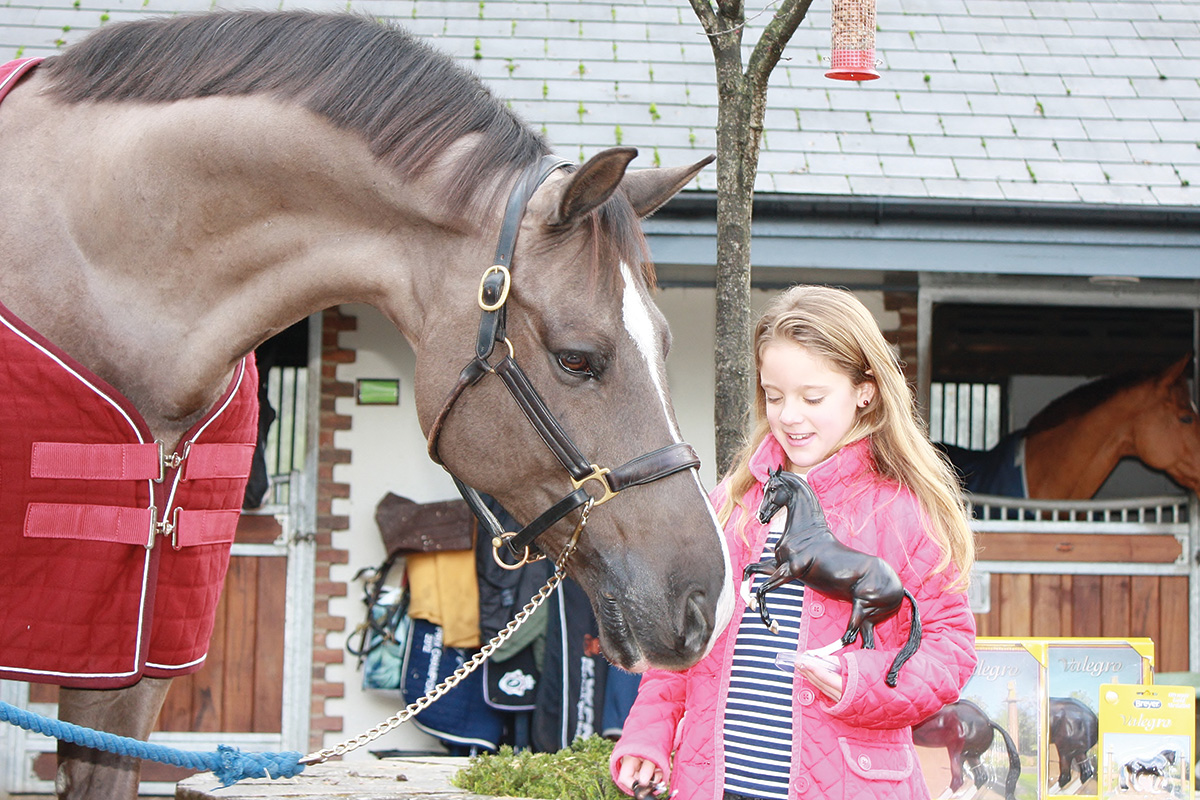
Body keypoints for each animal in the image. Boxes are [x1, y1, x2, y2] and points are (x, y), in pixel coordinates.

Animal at [743, 467, 922, 687]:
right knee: (867, 644)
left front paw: (771, 623)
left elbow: (761, 589)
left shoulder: (790, 571)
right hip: (869, 618)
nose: (760, 516)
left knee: (849, 637)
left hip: (861, 607)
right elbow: (749, 569)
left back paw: (813, 655)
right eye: (763, 488)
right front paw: (749, 602)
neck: (804, 532)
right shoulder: (777, 565)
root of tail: (901, 588)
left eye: (773, 489)